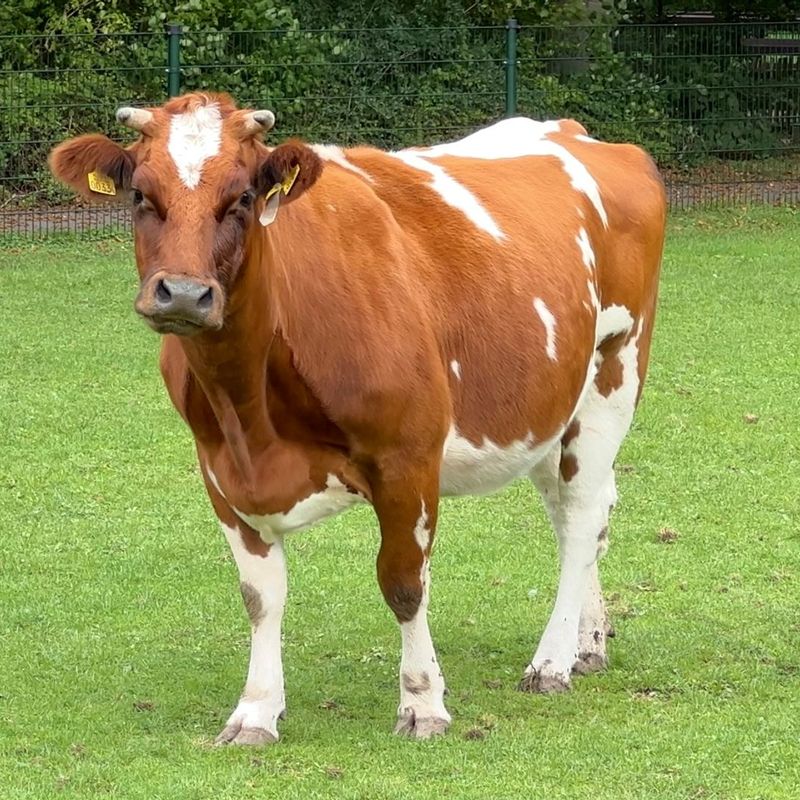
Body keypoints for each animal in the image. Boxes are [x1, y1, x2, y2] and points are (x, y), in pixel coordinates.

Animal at [49, 92, 666, 745]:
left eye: (242, 197)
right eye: (141, 196)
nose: (186, 295)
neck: (251, 410)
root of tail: (578, 133)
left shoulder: (407, 460)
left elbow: (403, 583)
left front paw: (422, 701)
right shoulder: (219, 470)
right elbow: (259, 597)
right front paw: (256, 710)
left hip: (613, 374)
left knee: (580, 520)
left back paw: (550, 663)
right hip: (551, 410)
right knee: (579, 514)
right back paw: (586, 642)